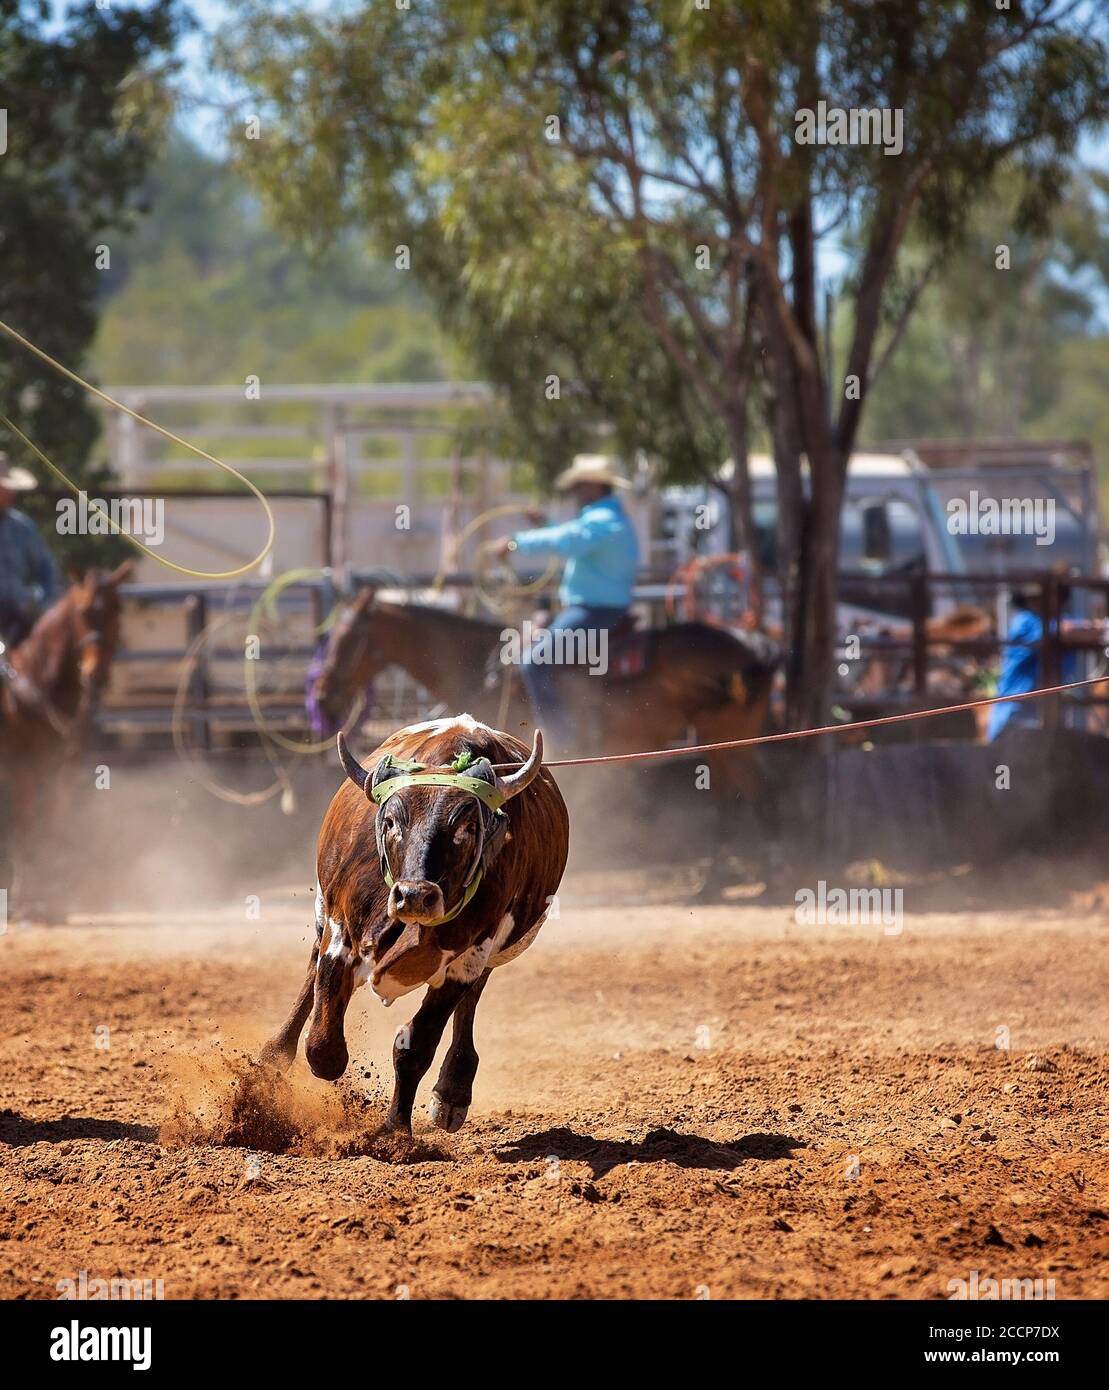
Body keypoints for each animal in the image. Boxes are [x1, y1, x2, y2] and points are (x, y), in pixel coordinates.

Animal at [260, 714, 569, 1134]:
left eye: (468, 827)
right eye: (391, 822)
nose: (415, 895)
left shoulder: (470, 954)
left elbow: (416, 1045)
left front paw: (394, 1131)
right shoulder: (341, 929)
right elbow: (323, 1044)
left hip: (488, 954)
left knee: (470, 1001)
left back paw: (453, 1092)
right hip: (323, 912)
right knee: (310, 974)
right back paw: (272, 1056)